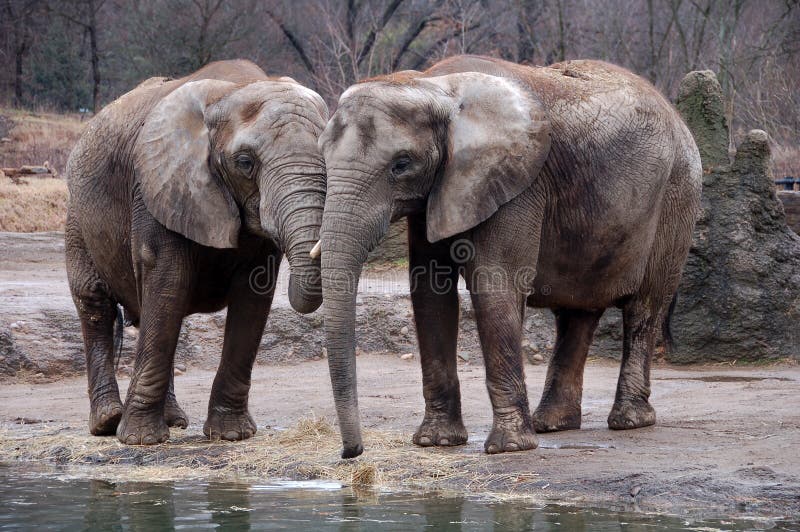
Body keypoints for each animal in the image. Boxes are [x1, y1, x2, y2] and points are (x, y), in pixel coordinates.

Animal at [65, 60, 328, 445]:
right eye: (245, 162)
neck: (234, 89)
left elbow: (252, 296)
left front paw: (231, 435)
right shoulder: (157, 188)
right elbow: (169, 282)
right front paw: (141, 441)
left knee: (154, 313)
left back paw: (173, 420)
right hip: (76, 218)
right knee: (96, 304)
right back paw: (107, 422)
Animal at [317, 55, 702, 457]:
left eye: (401, 164)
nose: (352, 452)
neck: (431, 86)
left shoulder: (517, 185)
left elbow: (493, 286)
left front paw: (509, 448)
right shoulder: (439, 193)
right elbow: (430, 293)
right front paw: (436, 441)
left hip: (677, 194)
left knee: (645, 306)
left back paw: (628, 421)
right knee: (577, 311)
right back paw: (554, 424)